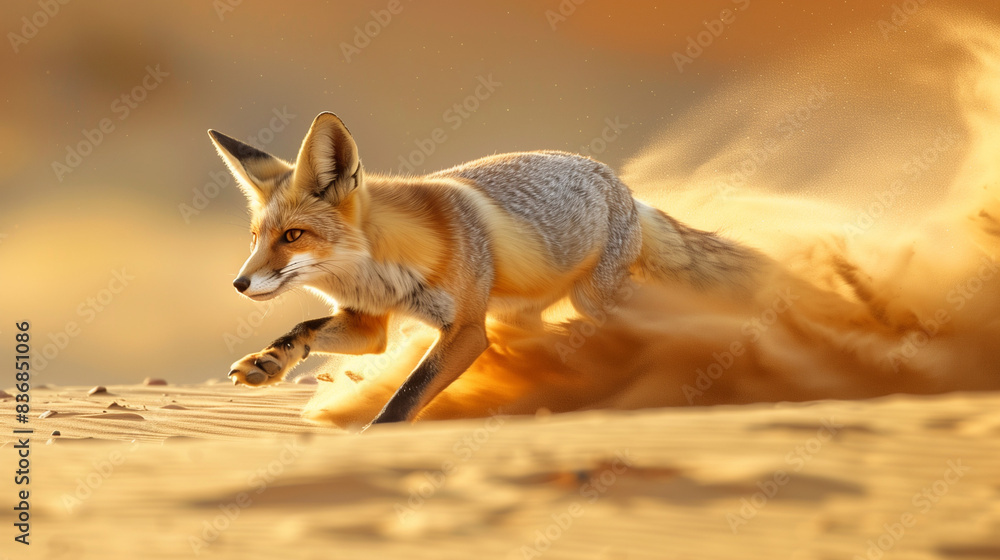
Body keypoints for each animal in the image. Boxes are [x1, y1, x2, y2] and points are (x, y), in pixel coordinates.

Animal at [208, 112, 760, 427]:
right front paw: (268, 362)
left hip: (596, 301)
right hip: (525, 315)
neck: (382, 269)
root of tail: (620, 183)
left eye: (292, 236)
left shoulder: (469, 330)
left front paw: (374, 437)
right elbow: (303, 328)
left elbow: (407, 395)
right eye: (256, 238)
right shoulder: (370, 325)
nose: (238, 284)